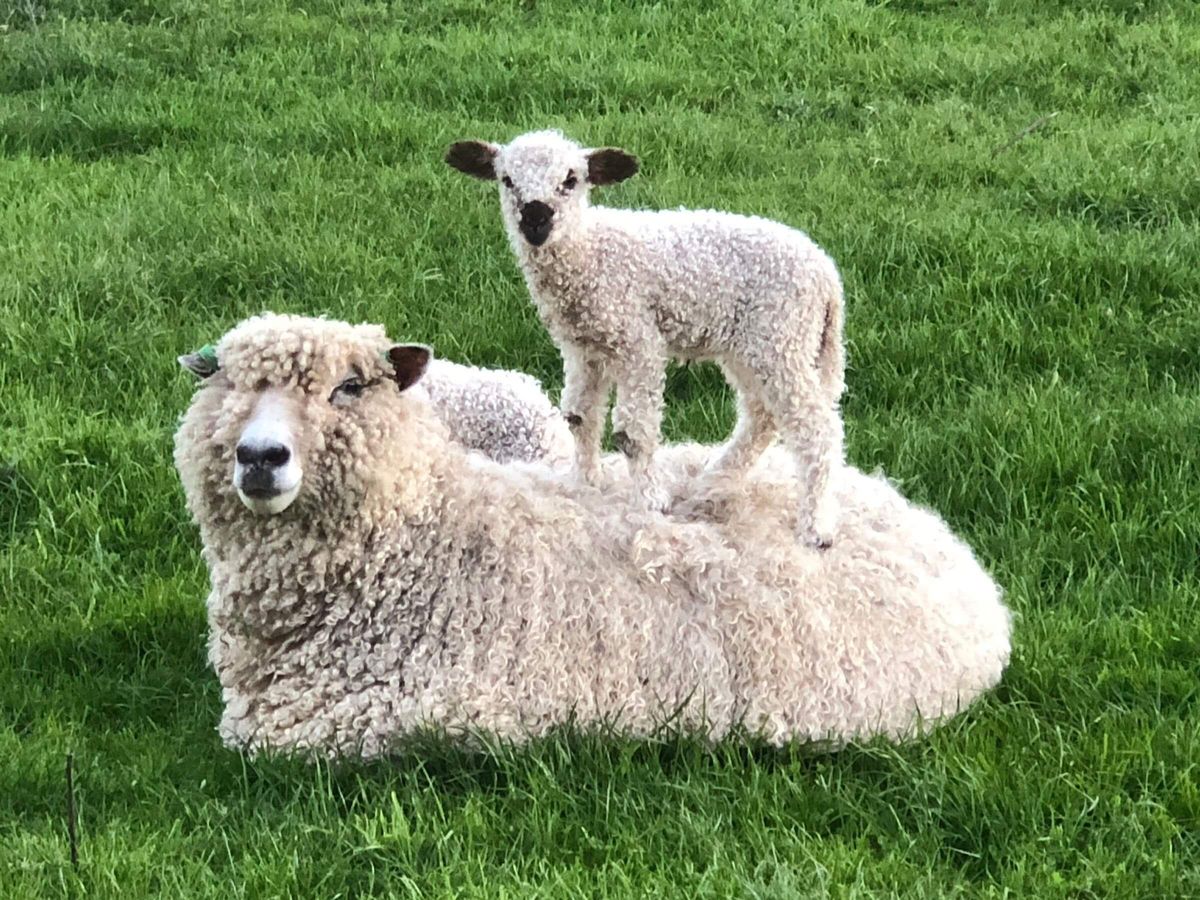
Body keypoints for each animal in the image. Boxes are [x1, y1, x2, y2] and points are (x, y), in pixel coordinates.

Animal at [446, 129, 848, 549]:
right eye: (506, 180)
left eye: (571, 180)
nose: (535, 219)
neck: (590, 252)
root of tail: (827, 276)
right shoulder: (583, 349)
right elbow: (580, 417)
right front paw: (584, 484)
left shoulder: (638, 341)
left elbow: (632, 433)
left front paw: (650, 500)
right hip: (752, 345)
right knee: (762, 416)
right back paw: (713, 480)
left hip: (781, 336)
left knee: (815, 428)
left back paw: (816, 526)